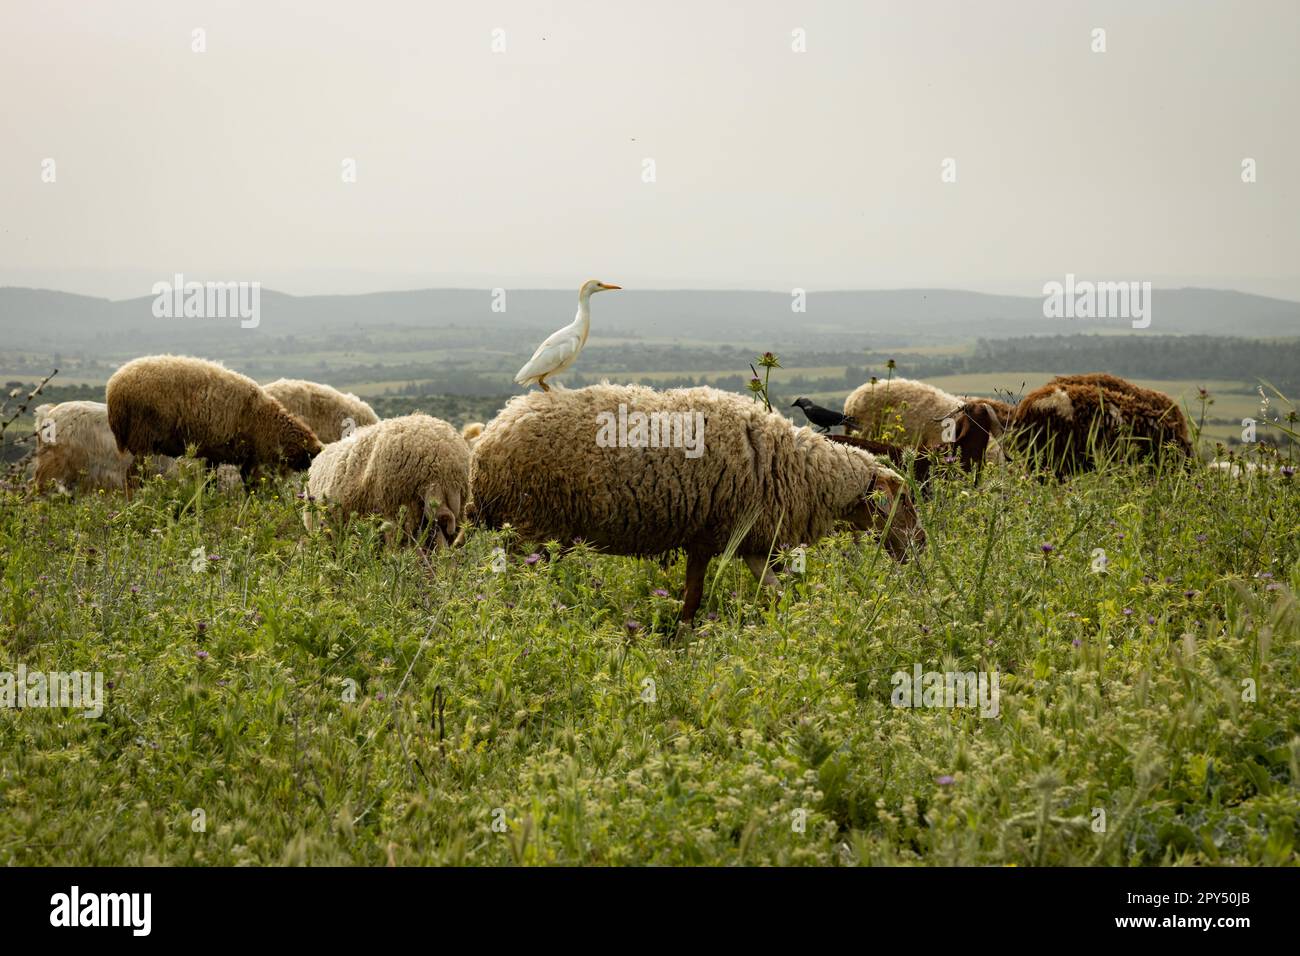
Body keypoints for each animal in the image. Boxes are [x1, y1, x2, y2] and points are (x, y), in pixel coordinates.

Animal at [106, 355, 322, 482]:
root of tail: (113, 387)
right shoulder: (251, 459)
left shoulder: (214, 454)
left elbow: (212, 483)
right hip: (143, 438)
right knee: (133, 476)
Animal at [466, 384, 924, 624]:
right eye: (903, 502)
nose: (920, 547)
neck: (804, 472)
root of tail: (489, 439)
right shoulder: (723, 532)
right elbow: (697, 597)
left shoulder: (736, 537)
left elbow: (762, 594)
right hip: (527, 529)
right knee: (512, 587)